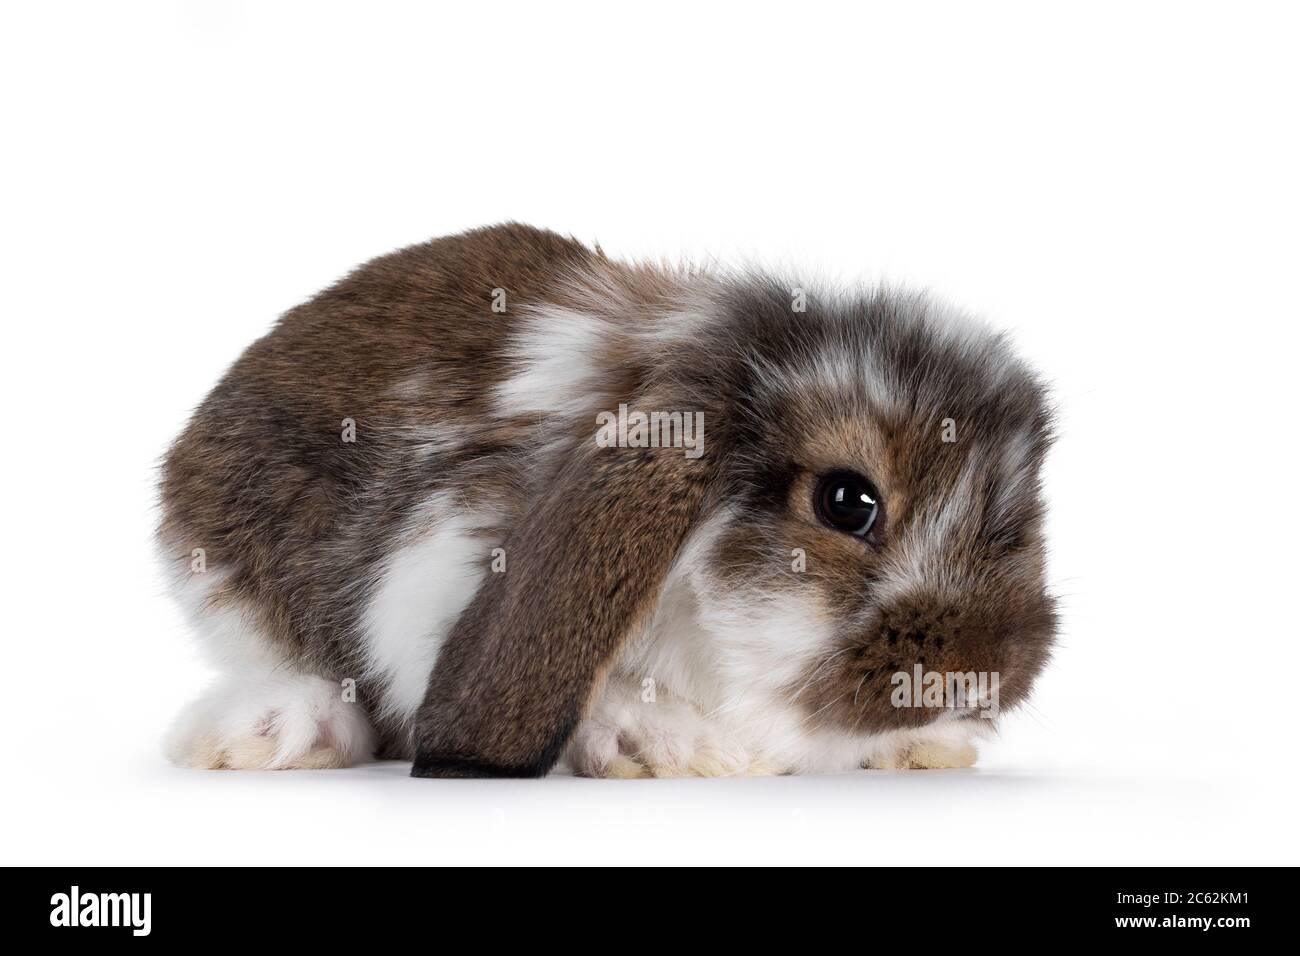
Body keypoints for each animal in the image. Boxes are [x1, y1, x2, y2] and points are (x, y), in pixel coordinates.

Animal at [159, 222, 1056, 778]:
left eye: (1018, 525)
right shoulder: (432, 568)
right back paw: (271, 733)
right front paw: (671, 746)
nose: (980, 677)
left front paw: (925, 746)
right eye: (845, 501)